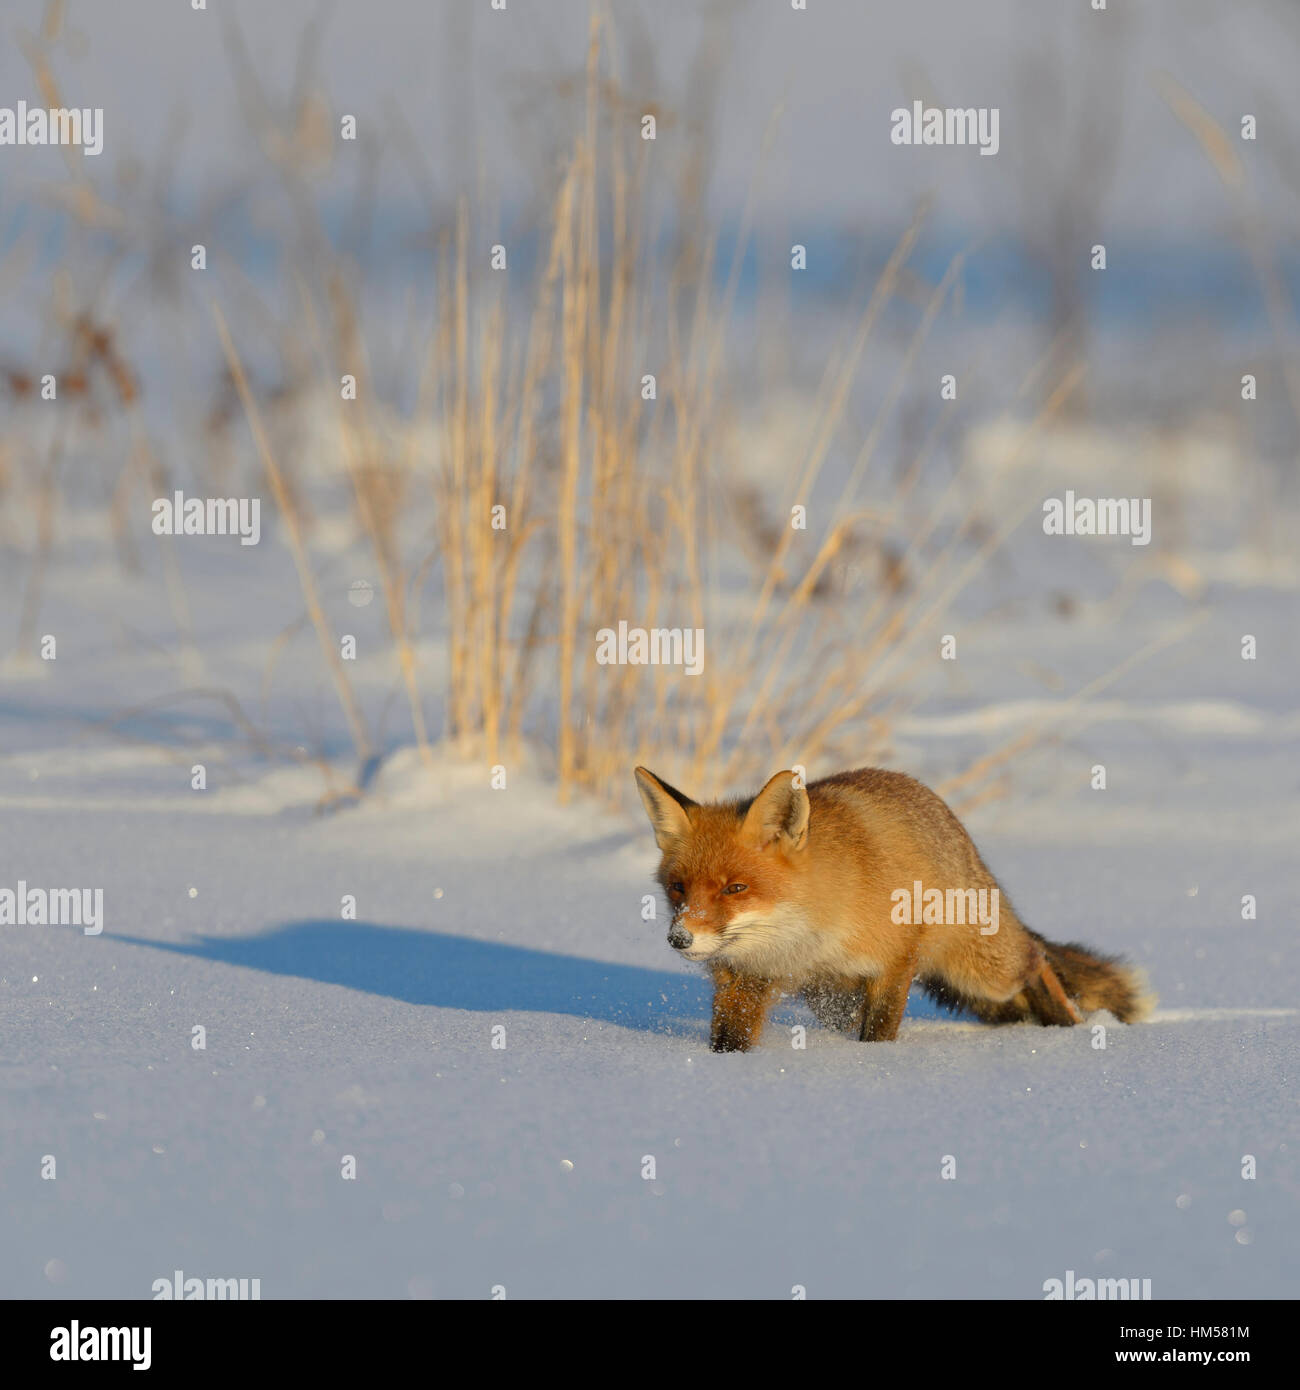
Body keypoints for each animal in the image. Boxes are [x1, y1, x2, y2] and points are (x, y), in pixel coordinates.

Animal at [634, 764, 1154, 1051]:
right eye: (678, 888)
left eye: (736, 888)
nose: (679, 938)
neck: (803, 940)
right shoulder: (744, 979)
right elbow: (729, 1043)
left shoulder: (894, 962)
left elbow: (880, 1032)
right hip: (835, 1000)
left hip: (984, 971)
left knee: (1036, 958)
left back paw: (1068, 1028)